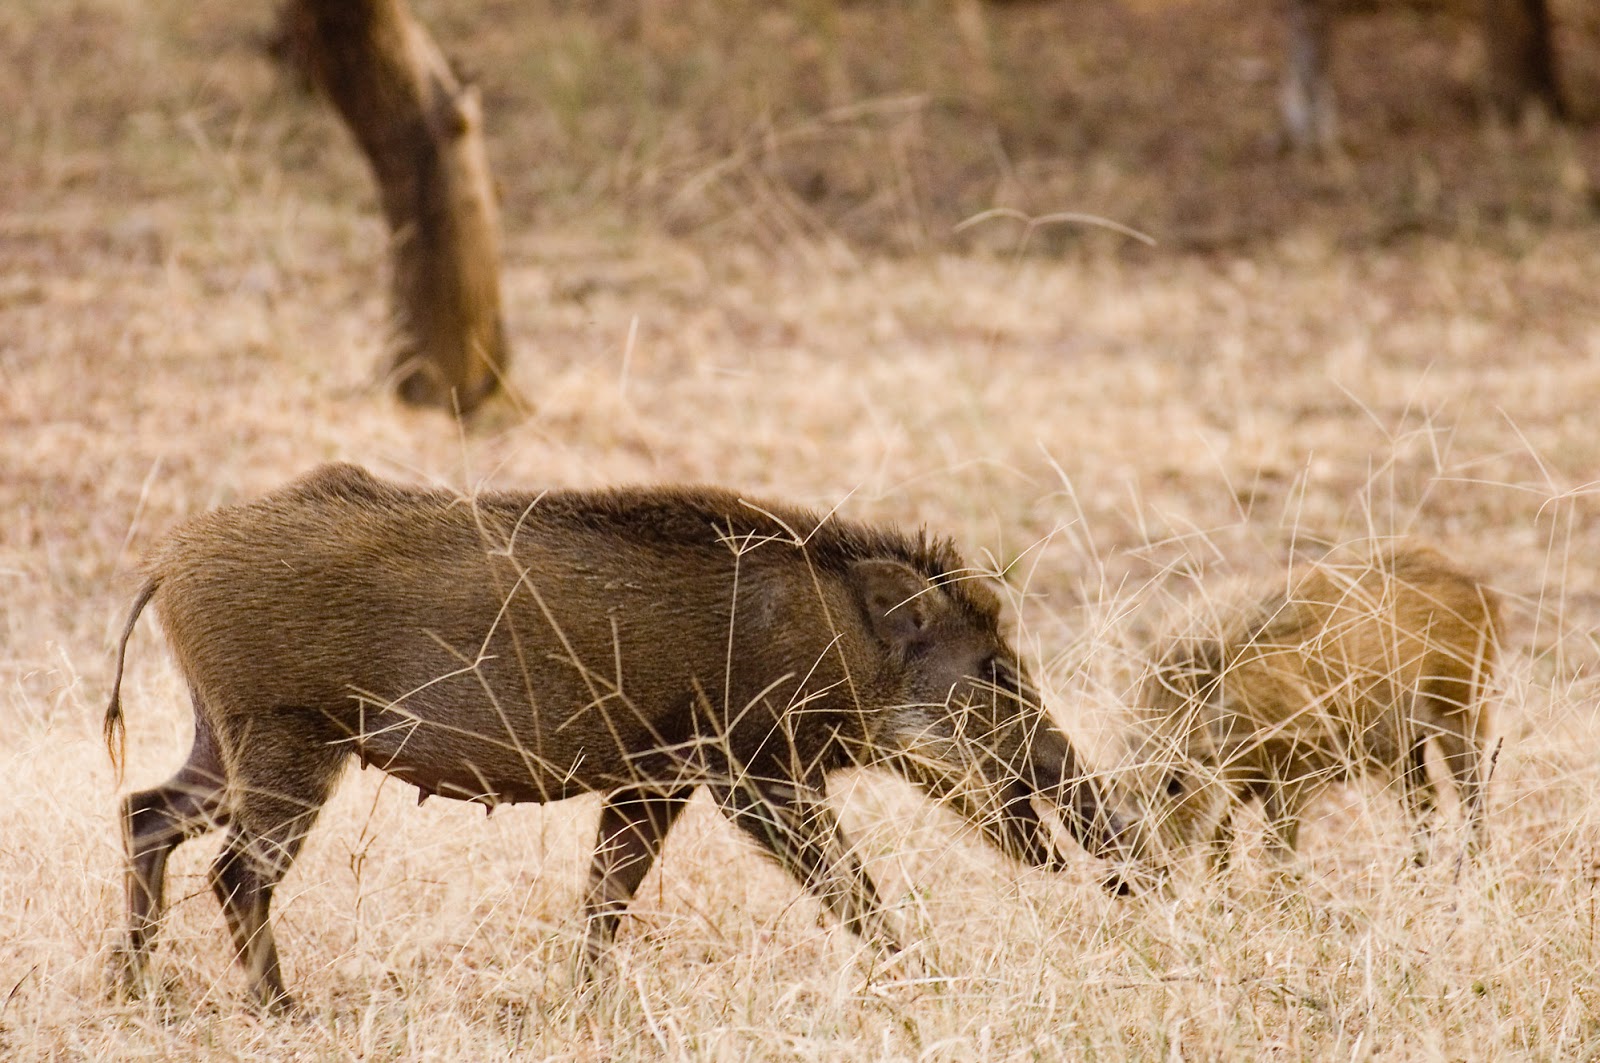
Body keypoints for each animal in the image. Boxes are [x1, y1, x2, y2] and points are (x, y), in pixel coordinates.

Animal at [104, 463, 1139, 1014]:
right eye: (994, 668)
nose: (1132, 867)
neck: (835, 638)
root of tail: (170, 560)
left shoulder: (656, 779)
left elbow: (608, 890)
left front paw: (582, 1000)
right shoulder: (750, 772)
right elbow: (848, 885)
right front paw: (925, 976)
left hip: (223, 742)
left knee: (143, 811)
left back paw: (130, 990)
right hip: (286, 743)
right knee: (235, 871)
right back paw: (285, 1011)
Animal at [1126, 543, 1500, 871]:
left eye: (1174, 783)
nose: (1126, 878)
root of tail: (1480, 589)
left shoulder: (1290, 778)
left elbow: (1276, 852)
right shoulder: (1239, 790)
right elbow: (1220, 851)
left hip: (1460, 713)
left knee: (1472, 799)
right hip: (1405, 747)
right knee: (1424, 802)